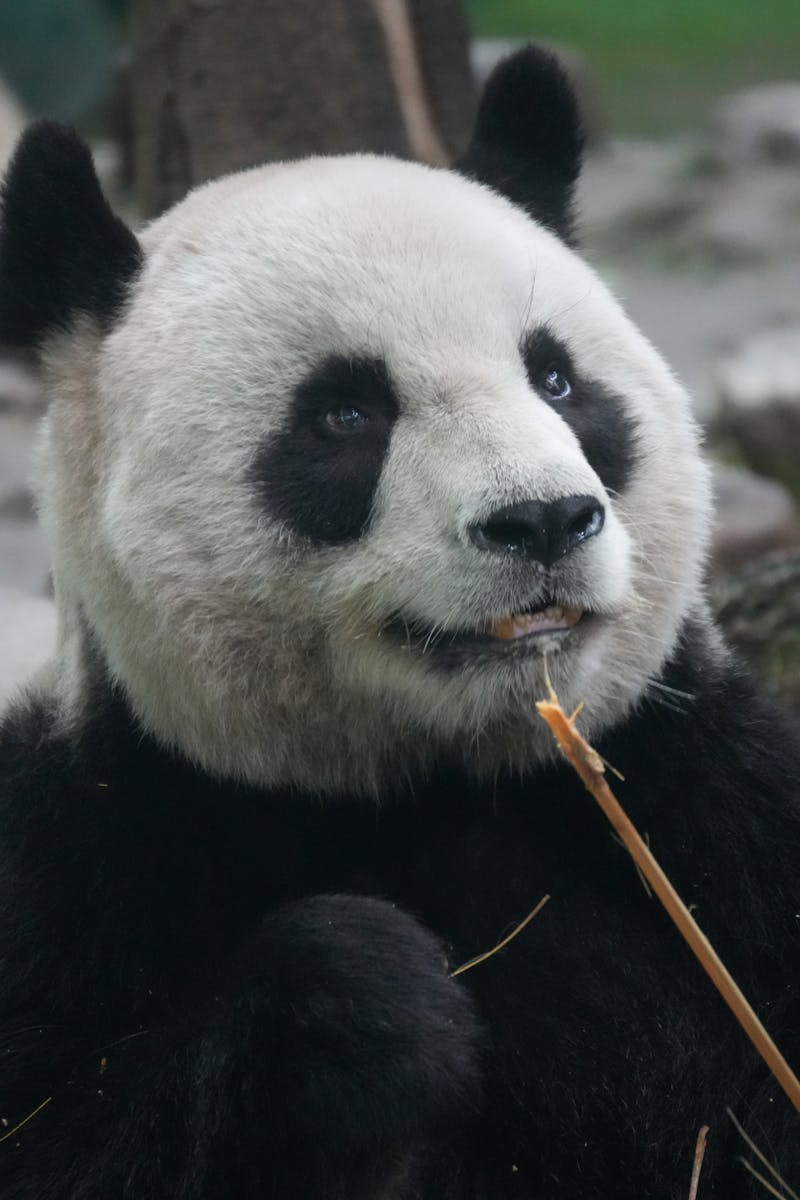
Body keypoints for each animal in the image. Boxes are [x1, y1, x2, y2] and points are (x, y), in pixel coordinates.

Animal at [0, 45, 798, 1200]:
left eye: (557, 379)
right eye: (345, 413)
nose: (541, 519)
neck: (426, 781)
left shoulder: (705, 801)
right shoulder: (87, 857)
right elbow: (62, 1130)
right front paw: (366, 1006)